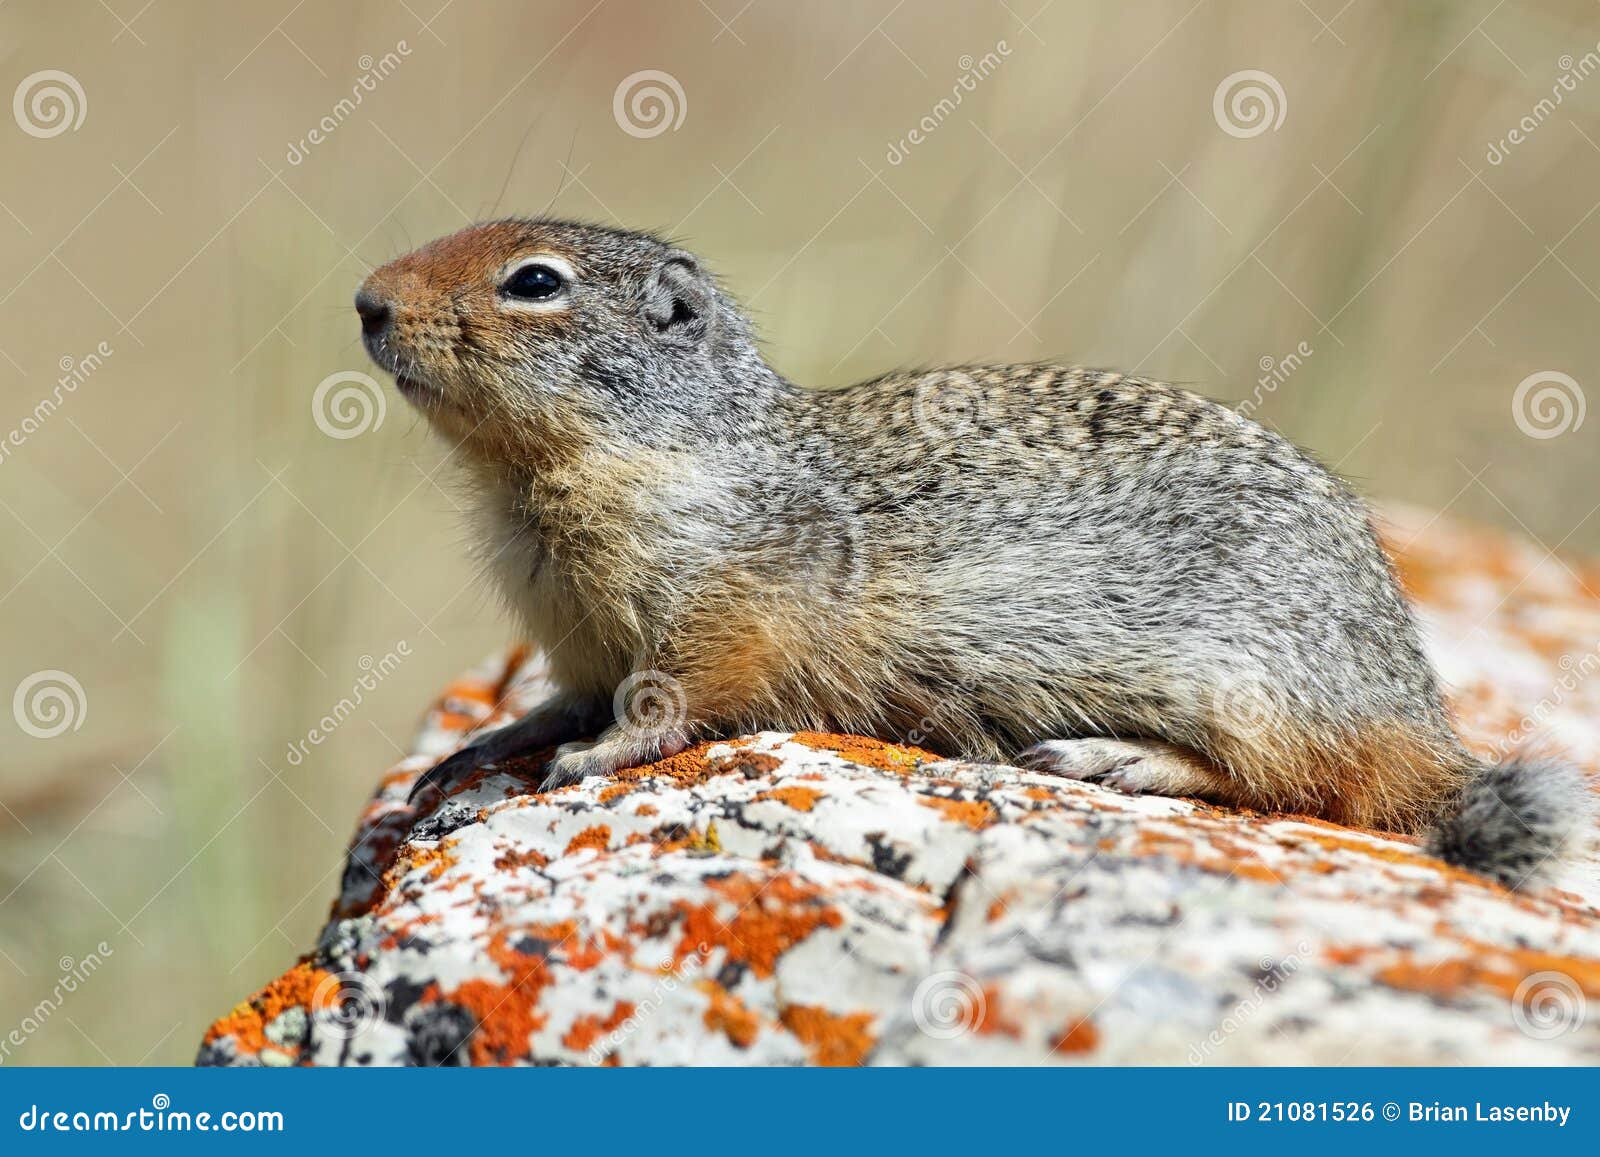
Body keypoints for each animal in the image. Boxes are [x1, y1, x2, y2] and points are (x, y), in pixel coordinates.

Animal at [355, 217, 1592, 889]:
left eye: (534, 281)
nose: (366, 300)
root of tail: (1418, 713)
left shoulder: (725, 597)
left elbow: (680, 692)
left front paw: (595, 754)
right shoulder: (573, 632)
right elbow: (568, 691)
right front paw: (487, 742)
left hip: (1246, 683)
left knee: (1293, 781)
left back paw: (1115, 758)